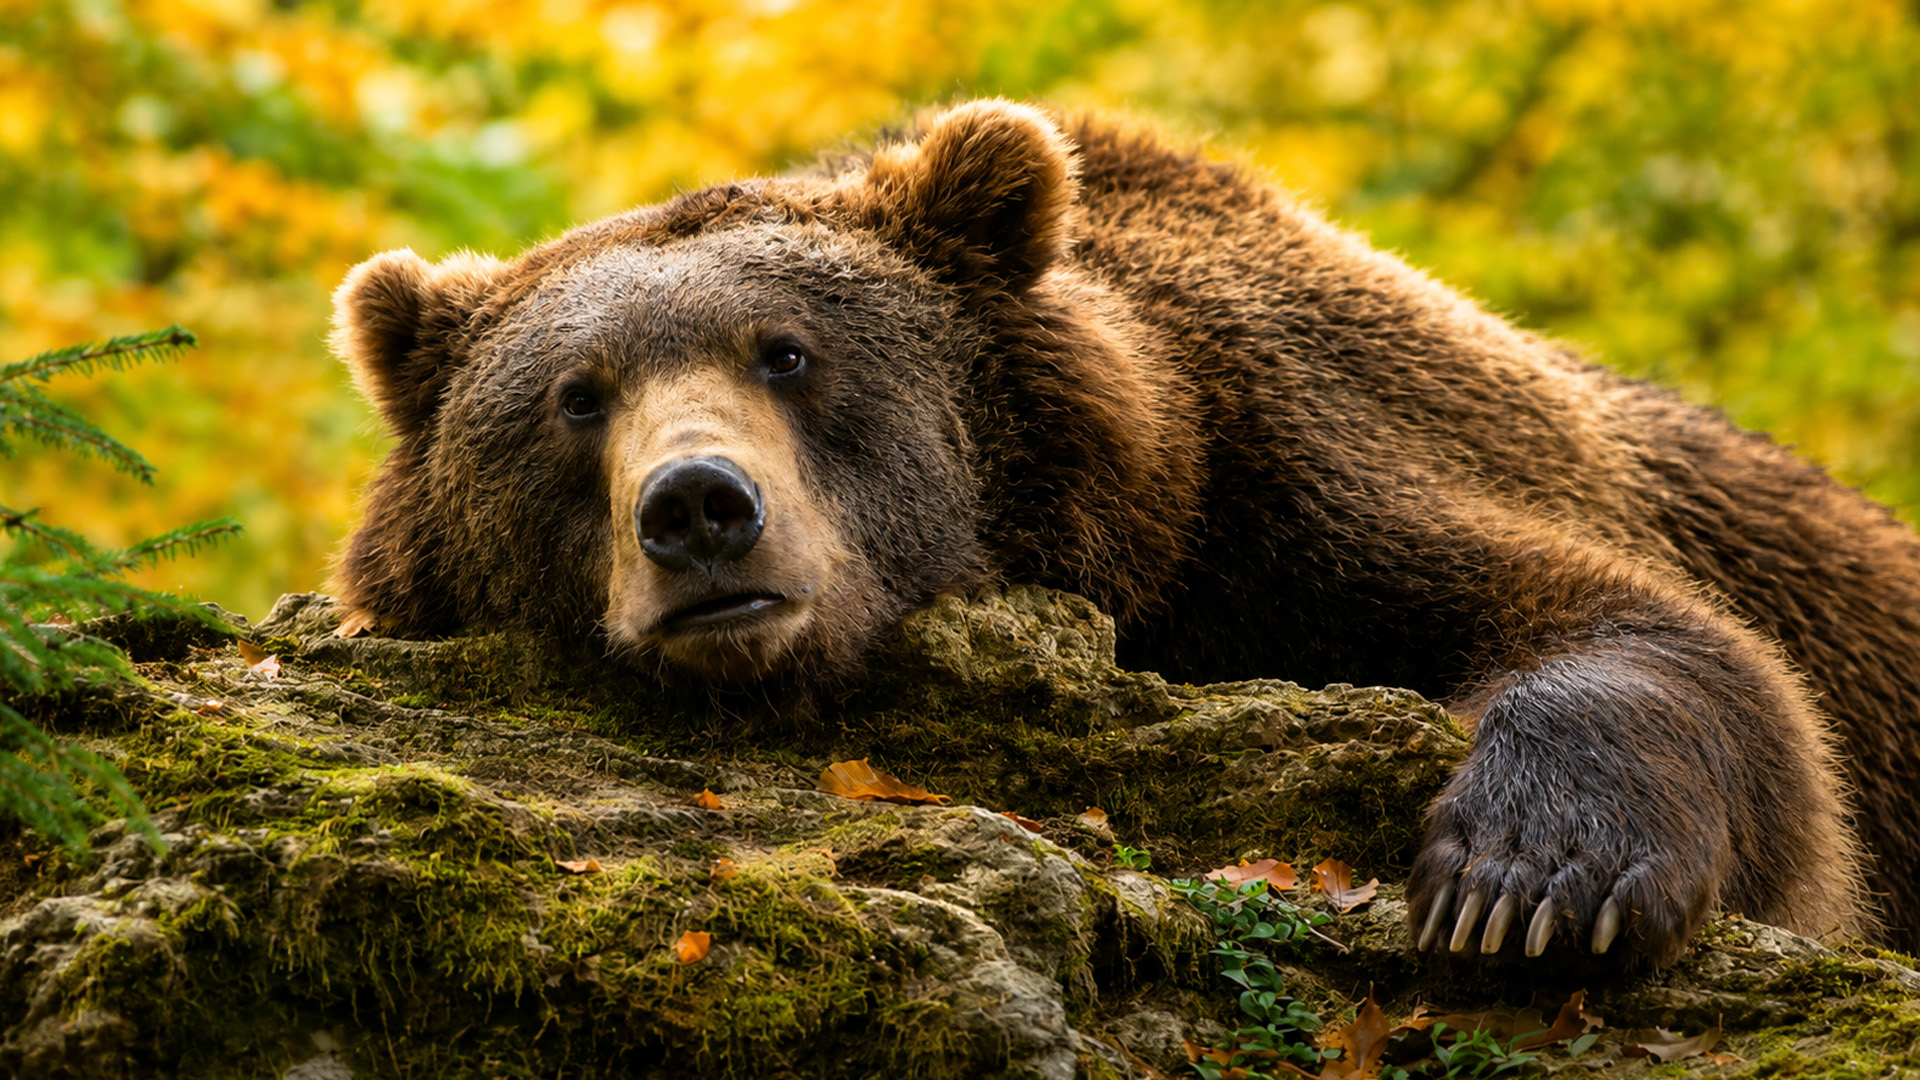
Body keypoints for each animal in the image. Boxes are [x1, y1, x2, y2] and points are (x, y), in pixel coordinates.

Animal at [330, 99, 1920, 969]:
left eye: (785, 351)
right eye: (576, 398)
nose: (701, 509)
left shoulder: (1296, 470)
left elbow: (1641, 629)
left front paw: (1526, 883)